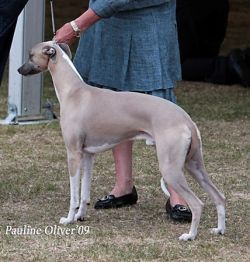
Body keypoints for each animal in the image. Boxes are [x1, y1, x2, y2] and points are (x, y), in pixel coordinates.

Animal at [17, 41, 225, 242]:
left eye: (30, 55)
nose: (19, 70)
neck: (73, 91)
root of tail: (187, 120)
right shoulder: (88, 155)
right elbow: (84, 193)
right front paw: (79, 216)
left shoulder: (73, 154)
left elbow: (74, 195)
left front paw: (68, 219)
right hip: (194, 165)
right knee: (219, 196)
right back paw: (219, 229)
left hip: (171, 169)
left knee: (197, 204)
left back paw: (190, 235)